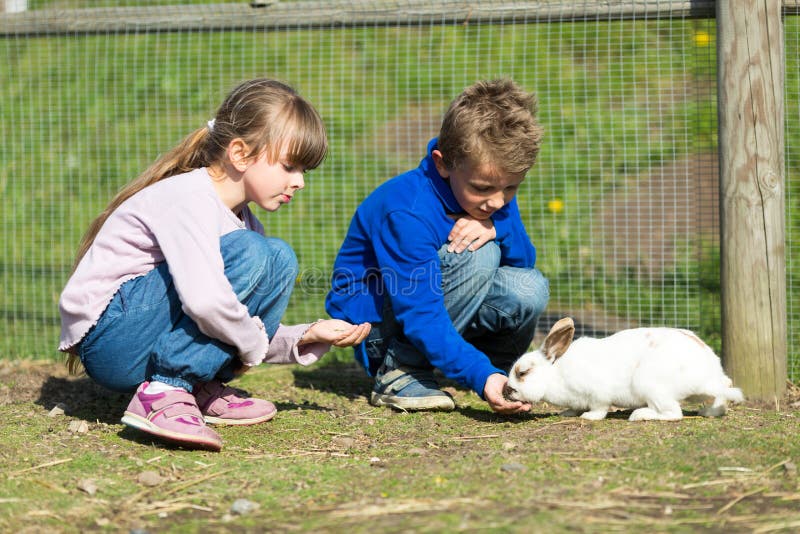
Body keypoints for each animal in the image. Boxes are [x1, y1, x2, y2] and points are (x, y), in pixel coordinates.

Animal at [503, 317, 744, 421]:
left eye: (522, 373)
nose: (506, 391)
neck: (555, 374)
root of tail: (706, 372)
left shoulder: (598, 394)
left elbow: (599, 409)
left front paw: (588, 417)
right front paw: (567, 413)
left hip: (650, 385)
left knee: (674, 414)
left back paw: (639, 415)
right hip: (705, 389)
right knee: (725, 387)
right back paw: (711, 412)